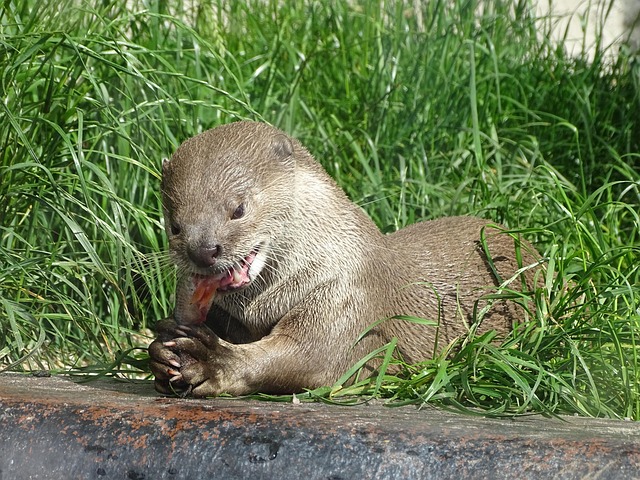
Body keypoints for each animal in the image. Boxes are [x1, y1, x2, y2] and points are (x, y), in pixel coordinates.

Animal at [149, 121, 541, 397]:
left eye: (239, 209)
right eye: (174, 224)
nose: (203, 249)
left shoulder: (348, 294)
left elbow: (307, 357)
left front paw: (210, 360)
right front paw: (161, 351)